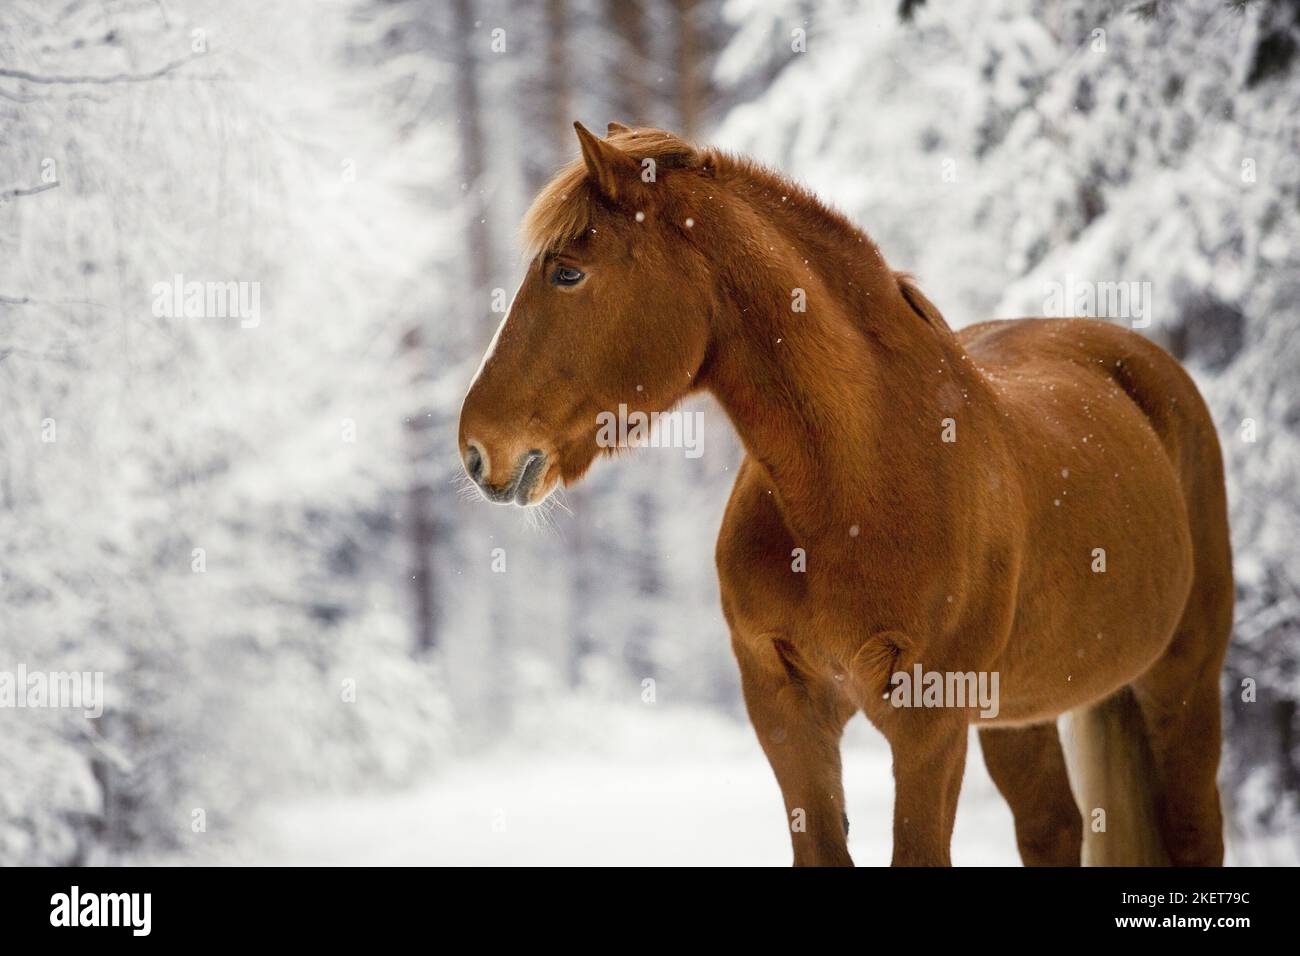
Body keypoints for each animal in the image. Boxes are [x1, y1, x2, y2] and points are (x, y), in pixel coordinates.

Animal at [458, 121, 1234, 867]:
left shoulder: (930, 722)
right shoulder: (786, 706)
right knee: (1053, 829)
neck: (854, 489)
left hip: (1184, 680)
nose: (475, 449)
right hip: (1021, 714)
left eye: (567, 272)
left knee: (1194, 833)